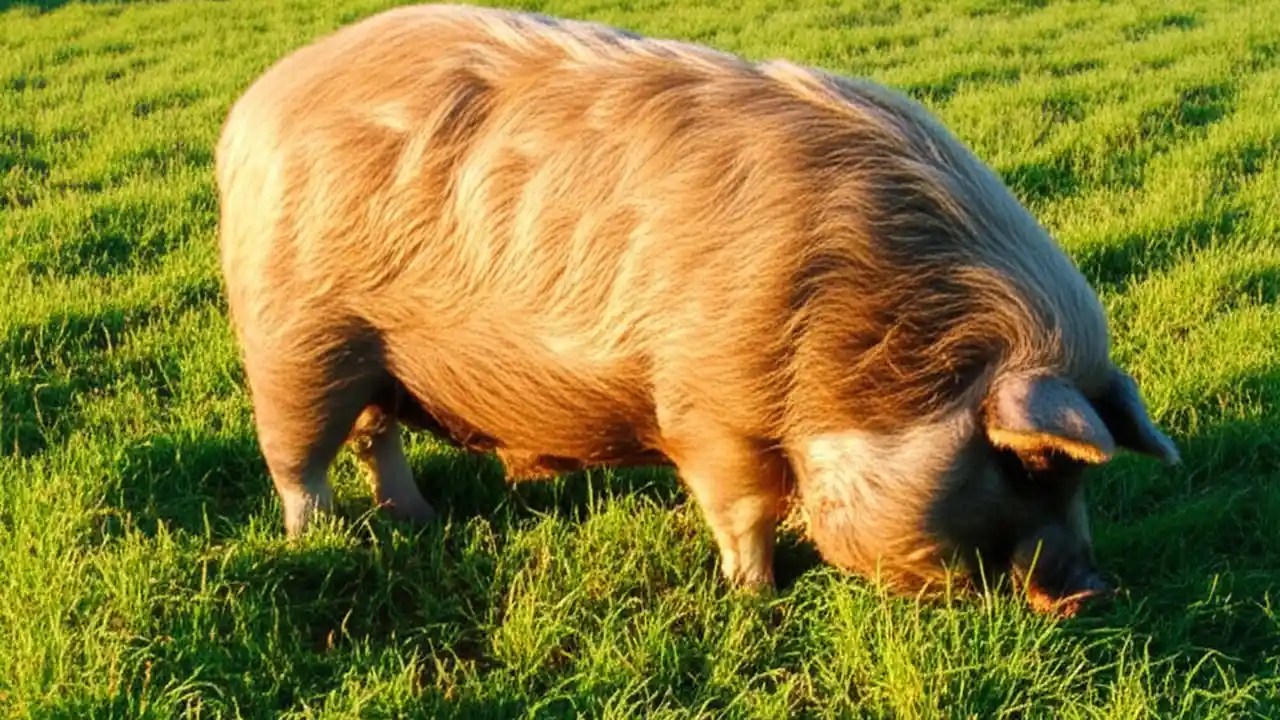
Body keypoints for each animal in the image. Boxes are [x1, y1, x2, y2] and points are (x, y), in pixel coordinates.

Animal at [214, 3, 1181, 615]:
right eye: (1025, 465)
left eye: (1076, 474)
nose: (1095, 591)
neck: (872, 355)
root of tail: (252, 109)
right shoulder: (707, 405)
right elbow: (741, 508)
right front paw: (755, 596)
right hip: (297, 336)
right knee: (298, 460)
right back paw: (325, 544)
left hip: (371, 357)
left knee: (377, 438)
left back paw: (416, 520)